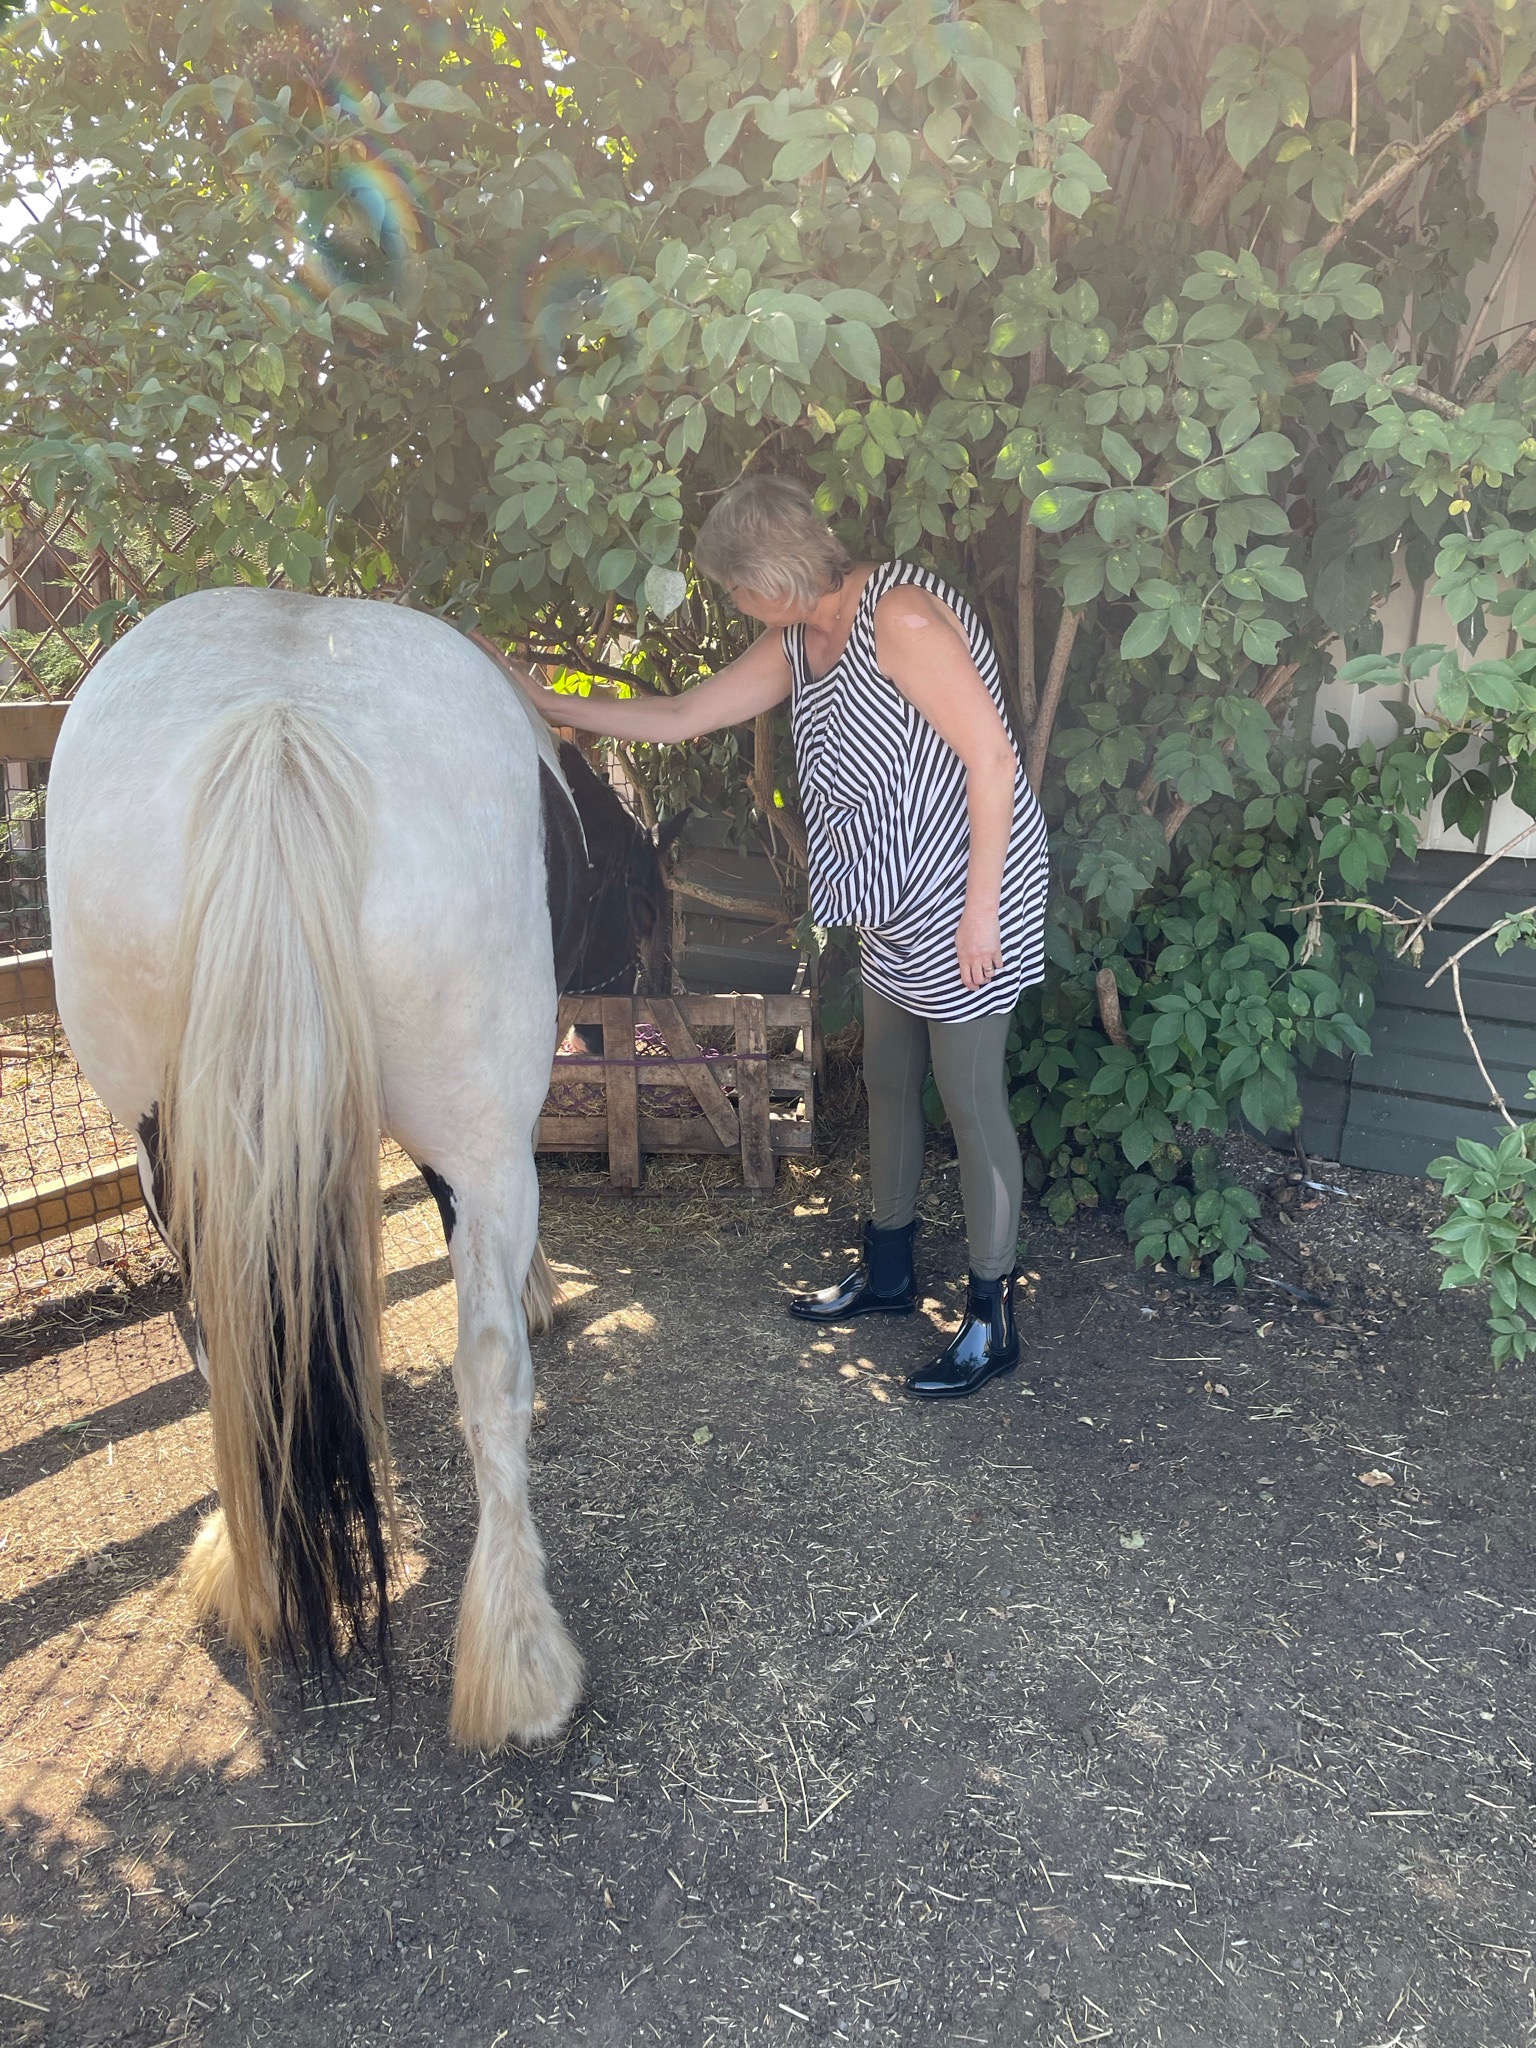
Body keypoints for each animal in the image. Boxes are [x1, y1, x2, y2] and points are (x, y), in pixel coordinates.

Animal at [47, 585, 667, 1750]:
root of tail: (280, 723)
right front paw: (539, 1286)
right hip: (473, 1129)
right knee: (491, 1374)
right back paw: (521, 1663)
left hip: (172, 1156)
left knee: (225, 1346)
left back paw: (256, 1581)